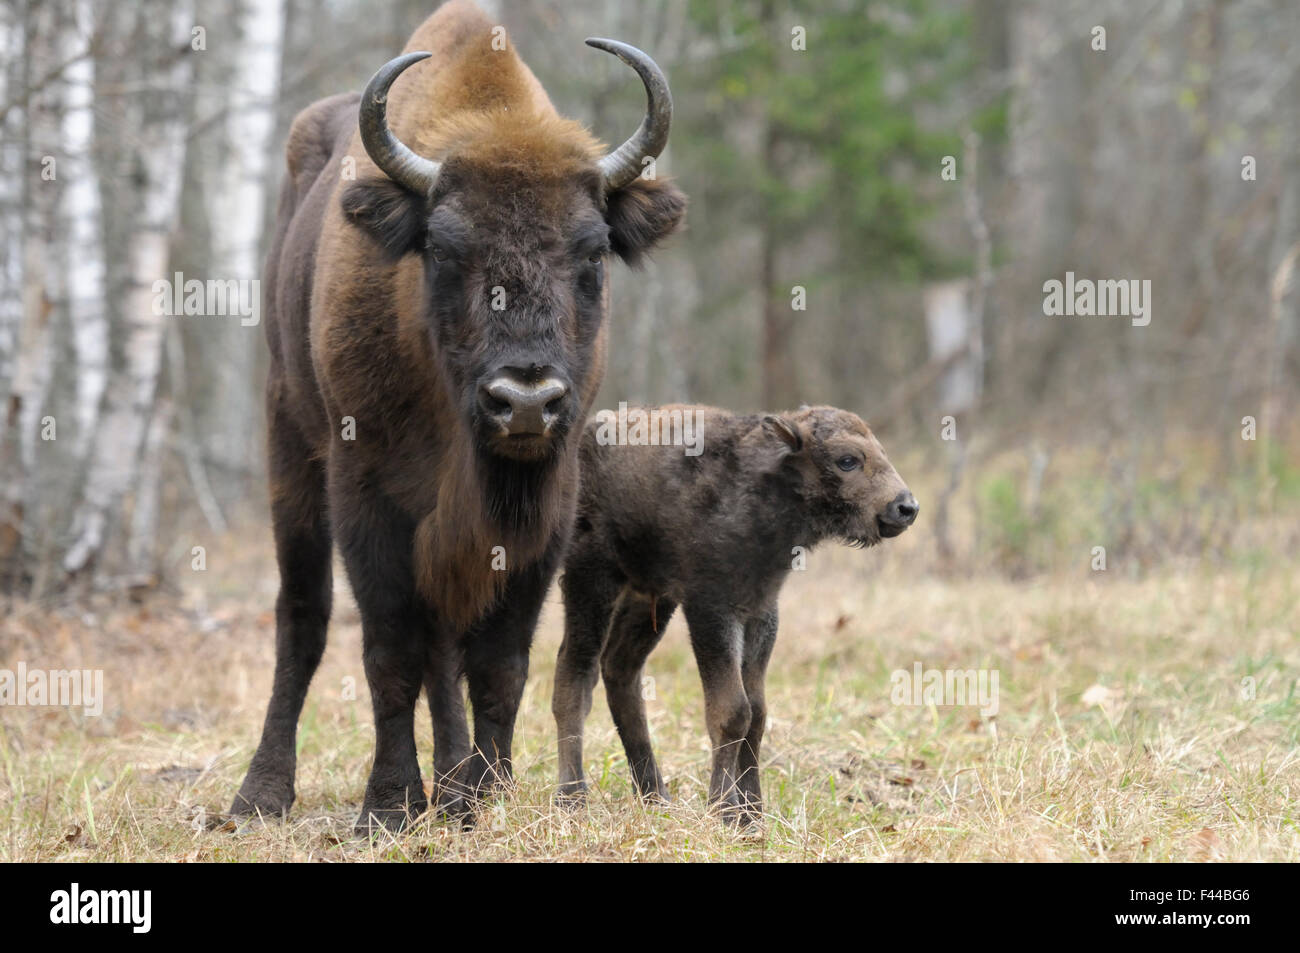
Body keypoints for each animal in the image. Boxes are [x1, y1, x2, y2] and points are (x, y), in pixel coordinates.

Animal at [229, 0, 686, 832]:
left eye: (593, 251)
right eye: (444, 248)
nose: (526, 401)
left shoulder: (544, 511)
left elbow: (497, 661)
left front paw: (486, 794)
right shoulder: (367, 497)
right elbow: (388, 650)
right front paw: (387, 805)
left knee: (442, 646)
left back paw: (451, 783)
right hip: (288, 440)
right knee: (303, 617)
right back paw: (261, 794)